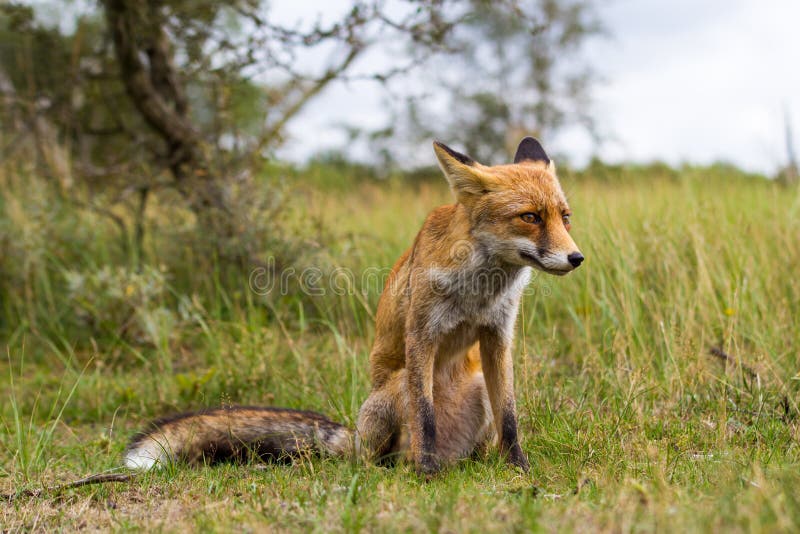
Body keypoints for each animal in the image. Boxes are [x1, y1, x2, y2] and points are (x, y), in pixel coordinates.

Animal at [124, 137, 583, 475]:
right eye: (530, 217)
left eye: (564, 216)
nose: (576, 258)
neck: (480, 289)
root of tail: (354, 435)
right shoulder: (422, 337)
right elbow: (425, 417)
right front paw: (426, 473)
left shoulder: (497, 337)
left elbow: (510, 418)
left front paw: (519, 469)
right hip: (396, 389)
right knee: (377, 458)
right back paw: (406, 467)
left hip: (475, 387)